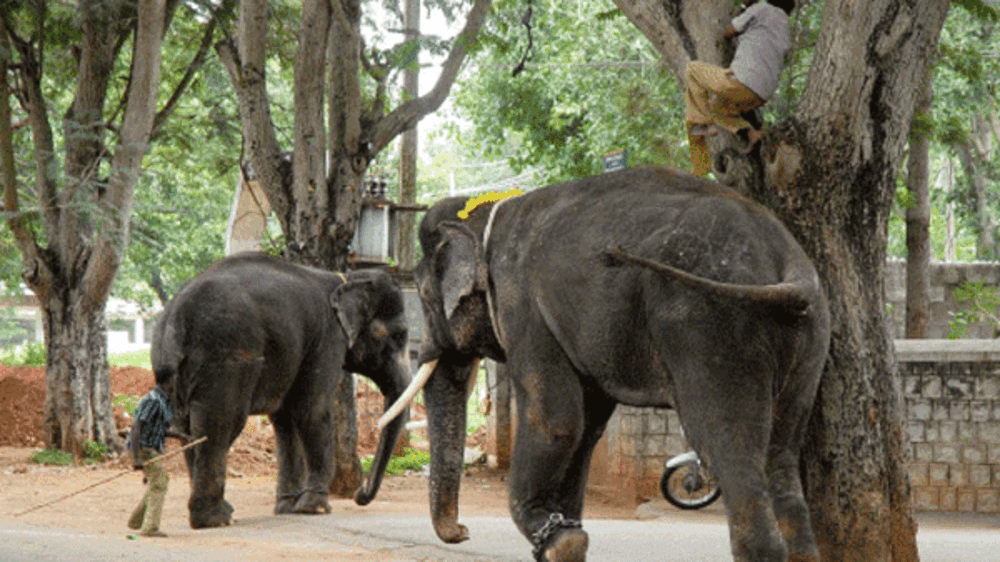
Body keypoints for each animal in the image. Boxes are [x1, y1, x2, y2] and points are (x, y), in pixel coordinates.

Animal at [152, 252, 411, 529]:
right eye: (398, 336)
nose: (359, 495)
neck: (346, 278)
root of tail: (174, 317)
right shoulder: (328, 338)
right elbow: (312, 409)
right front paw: (315, 509)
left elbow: (285, 419)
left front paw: (288, 508)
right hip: (225, 357)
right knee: (221, 424)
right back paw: (215, 519)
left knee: (187, 428)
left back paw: (220, 512)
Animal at [380, 166, 830, 562]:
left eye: (423, 295)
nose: (461, 532)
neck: (493, 213)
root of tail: (790, 264)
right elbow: (588, 429)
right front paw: (564, 534)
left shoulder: (525, 309)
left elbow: (555, 421)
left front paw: (558, 539)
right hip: (808, 341)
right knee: (781, 456)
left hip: (712, 328)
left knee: (725, 448)